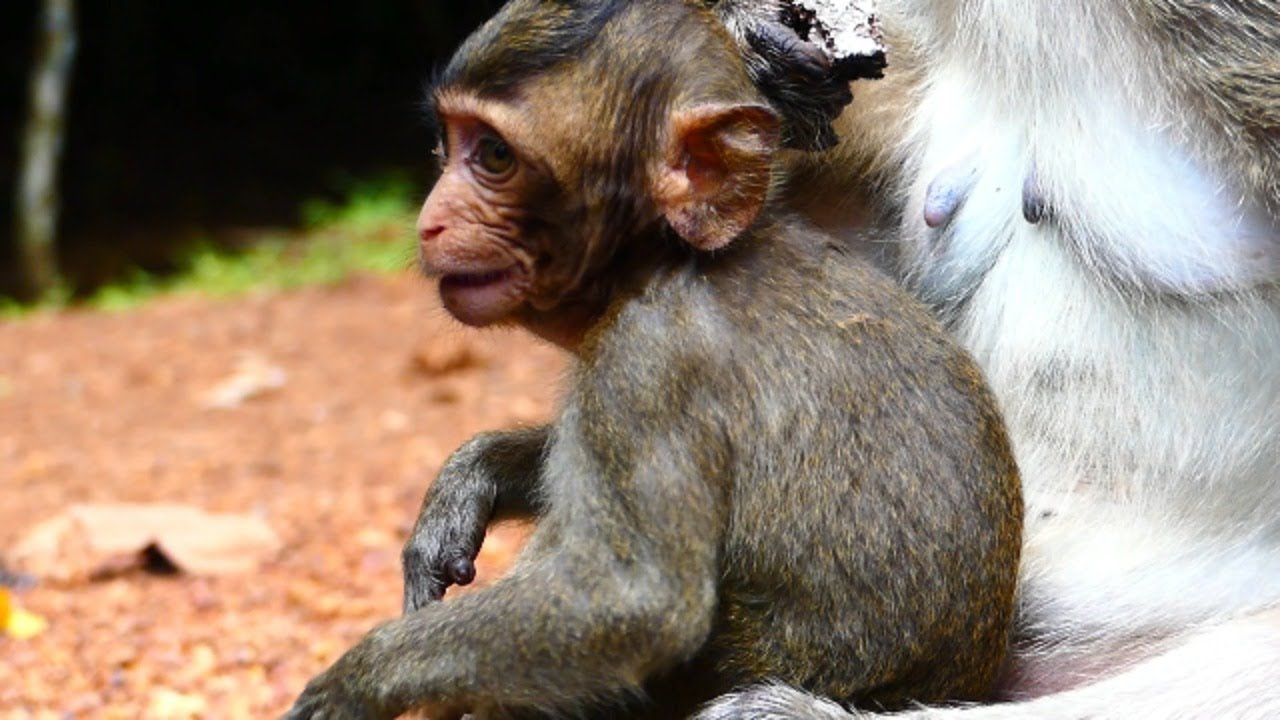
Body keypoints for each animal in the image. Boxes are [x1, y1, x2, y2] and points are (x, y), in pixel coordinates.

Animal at [283, 1, 1023, 718]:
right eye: (451, 140)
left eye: (493, 154)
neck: (665, 260)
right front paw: (471, 476)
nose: (430, 220)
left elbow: (636, 604)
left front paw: (353, 682)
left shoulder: (649, 360)